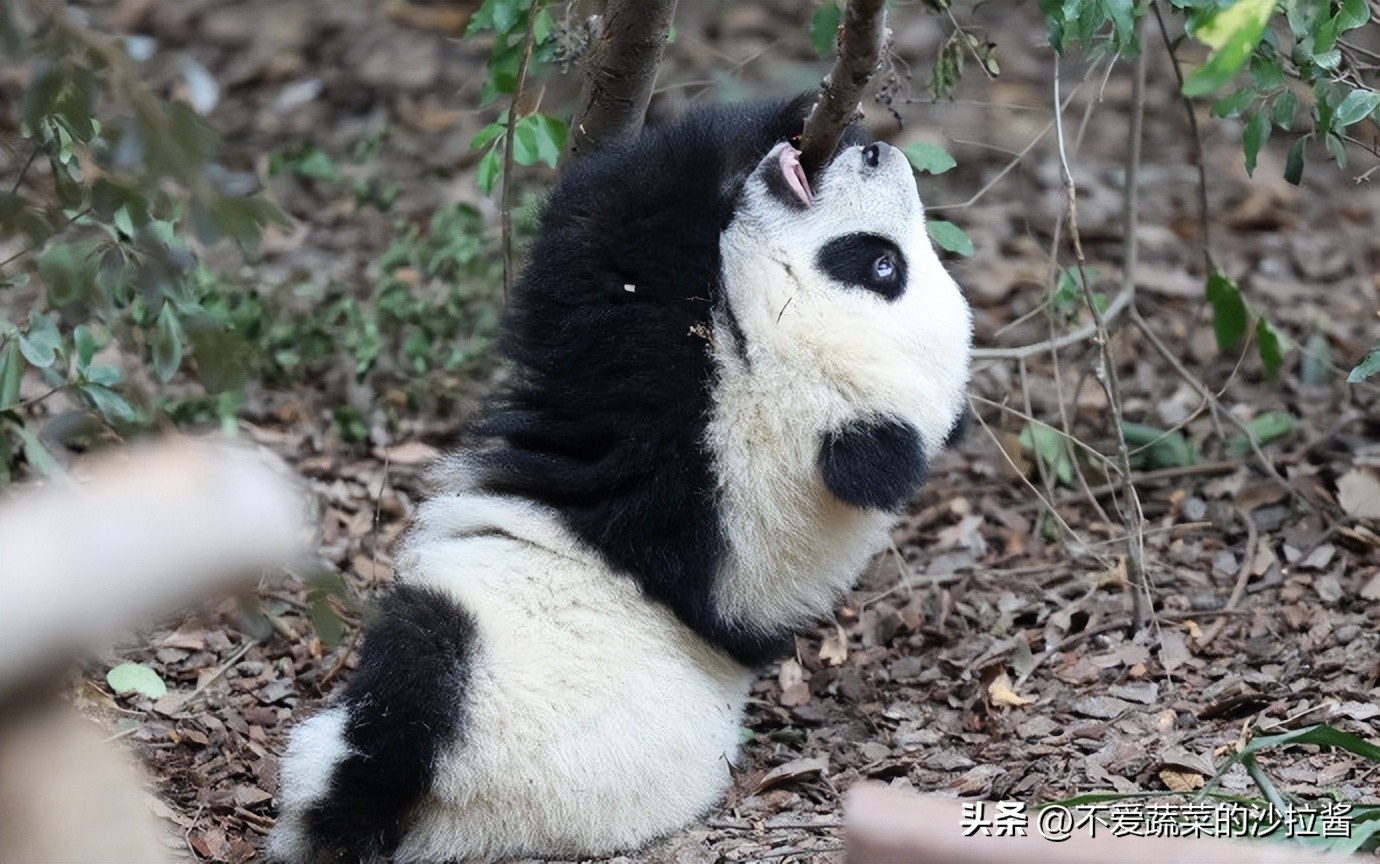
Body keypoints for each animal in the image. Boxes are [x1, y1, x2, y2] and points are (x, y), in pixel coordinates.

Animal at [269, 96, 972, 863]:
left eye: (880, 265)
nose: (882, 156)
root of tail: (449, 820)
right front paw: (803, 125)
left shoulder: (683, 437)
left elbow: (607, 240)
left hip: (466, 683)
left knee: (407, 682)